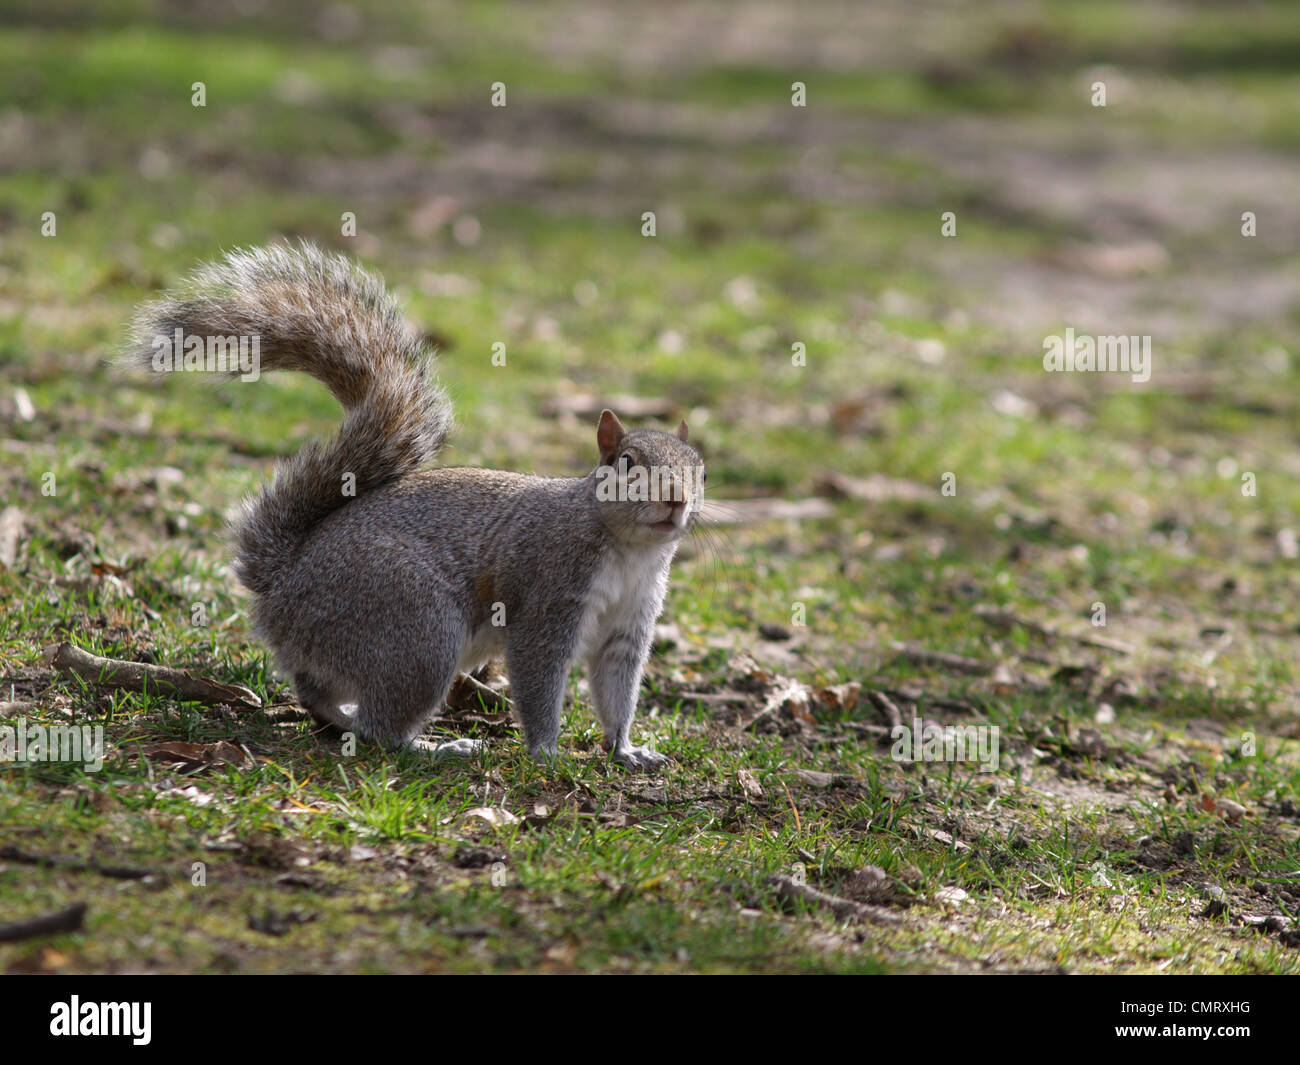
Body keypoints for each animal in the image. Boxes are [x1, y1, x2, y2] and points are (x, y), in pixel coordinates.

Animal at [125, 242, 705, 769]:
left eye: (700, 468)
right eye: (627, 464)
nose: (676, 499)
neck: (627, 551)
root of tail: (280, 586)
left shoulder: (629, 625)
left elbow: (617, 690)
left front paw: (625, 750)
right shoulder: (548, 595)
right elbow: (539, 678)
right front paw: (545, 751)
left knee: (317, 692)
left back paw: (345, 718)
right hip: (417, 628)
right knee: (383, 729)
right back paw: (434, 747)